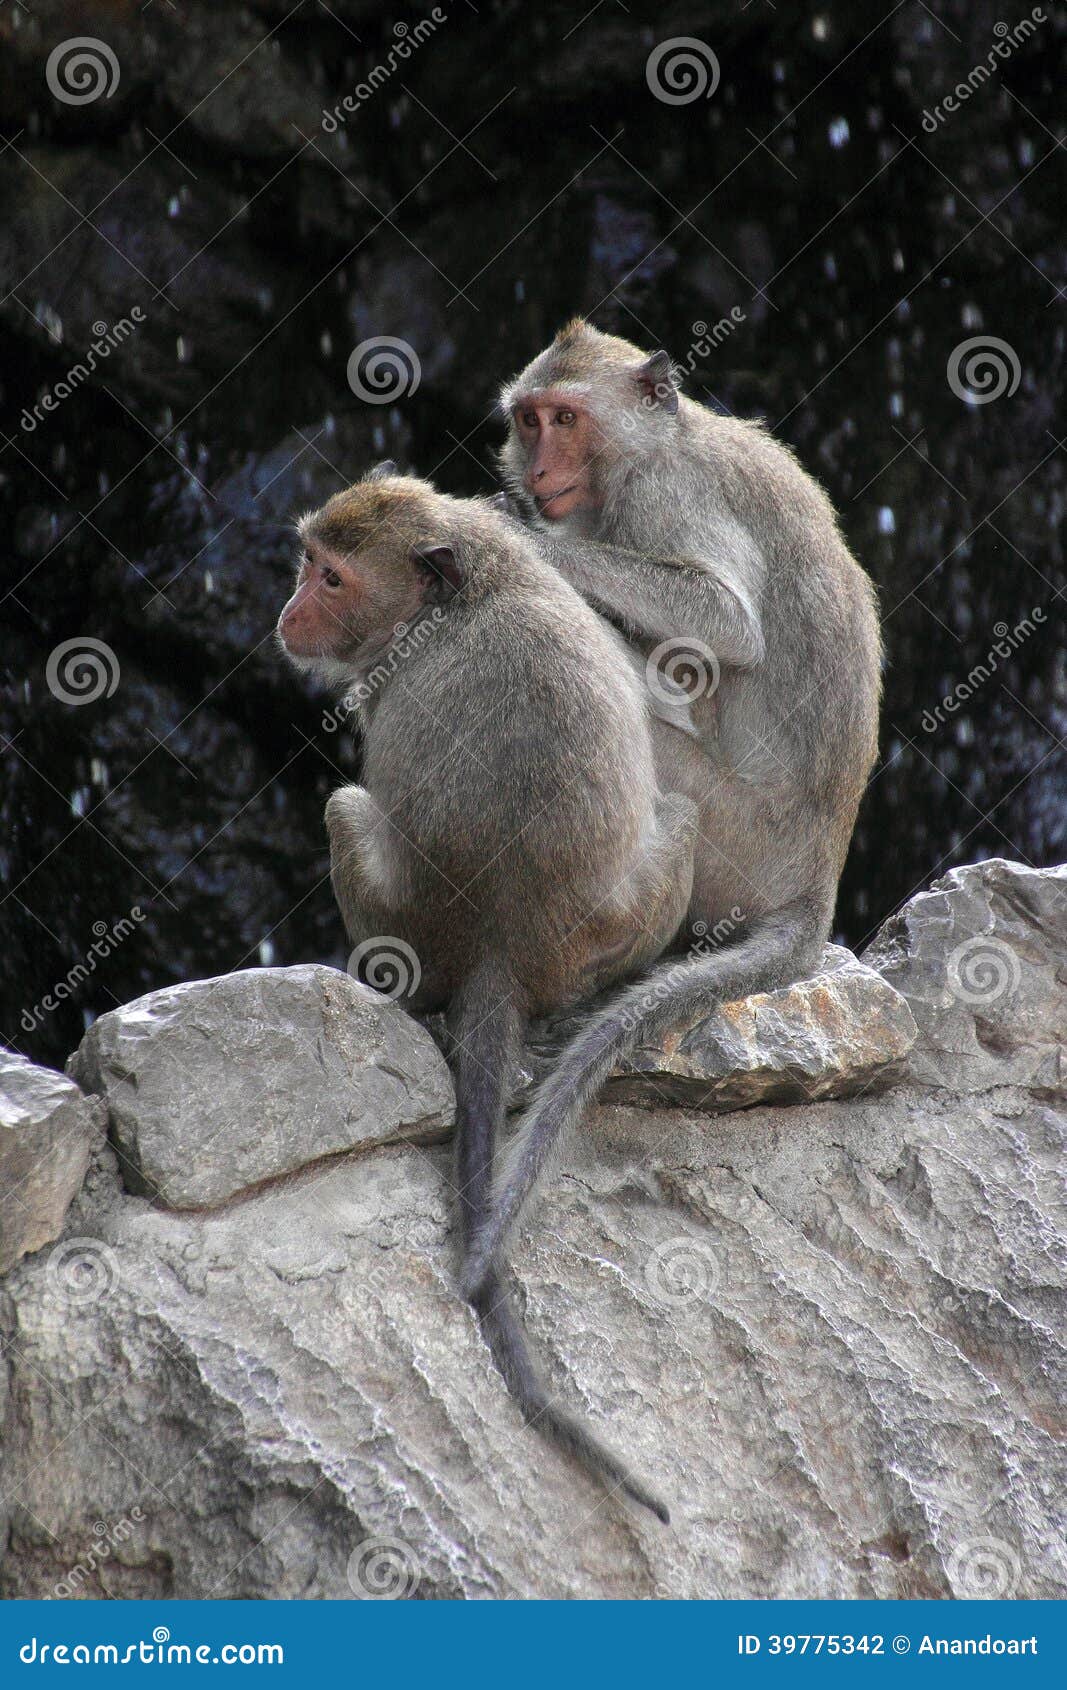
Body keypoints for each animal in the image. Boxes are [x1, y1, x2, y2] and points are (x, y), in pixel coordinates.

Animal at [276, 463, 698, 1522]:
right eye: (308, 563)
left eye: (331, 577)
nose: (289, 611)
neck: (465, 584)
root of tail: (500, 947)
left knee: (348, 809)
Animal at [462, 317, 882, 1302]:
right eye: (528, 419)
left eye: (566, 419)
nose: (539, 467)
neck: (653, 445)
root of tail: (818, 876)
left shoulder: (664, 499)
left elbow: (722, 622)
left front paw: (523, 533)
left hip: (731, 827)